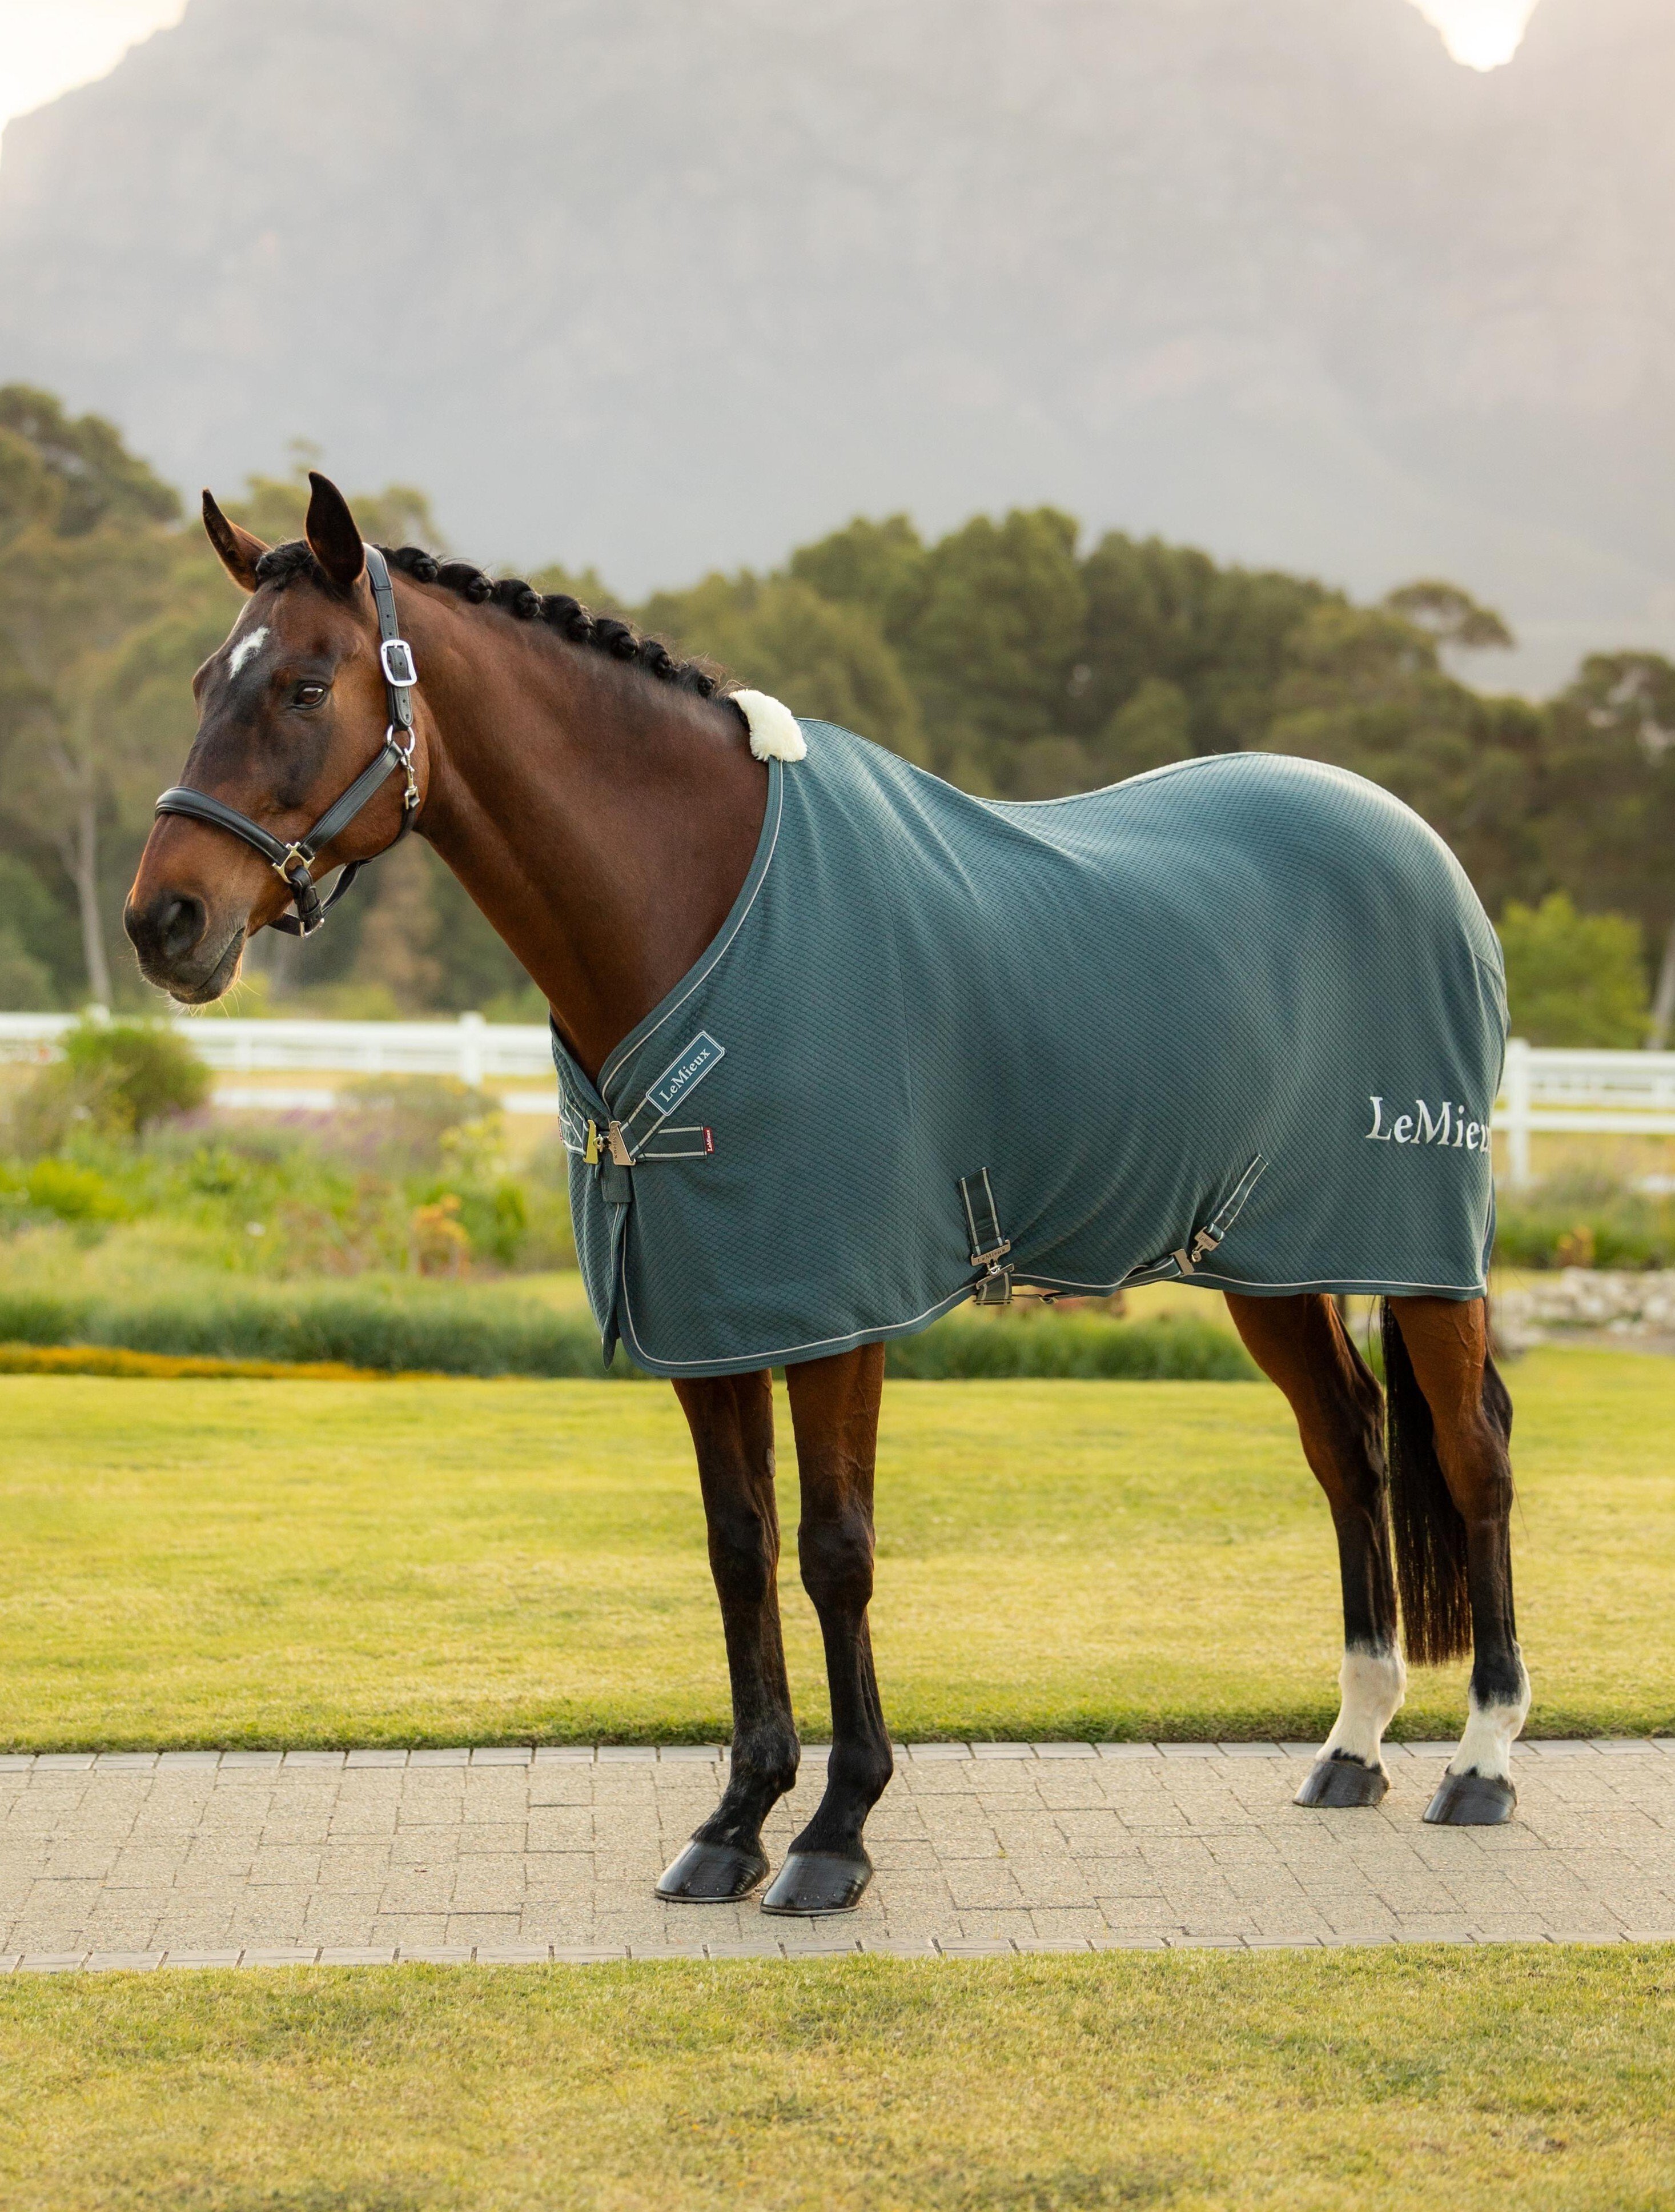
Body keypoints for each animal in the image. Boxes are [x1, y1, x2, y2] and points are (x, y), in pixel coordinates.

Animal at [124, 473, 1529, 1918]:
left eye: (304, 685)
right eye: (206, 679)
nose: (165, 922)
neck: (700, 912)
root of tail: (1419, 847)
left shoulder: (833, 1313)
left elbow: (833, 1550)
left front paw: (836, 1829)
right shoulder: (709, 1313)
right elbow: (739, 1548)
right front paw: (736, 1817)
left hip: (1423, 1253)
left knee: (1469, 1452)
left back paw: (1478, 1762)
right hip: (1268, 1261)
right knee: (1348, 1450)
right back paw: (1351, 1744)